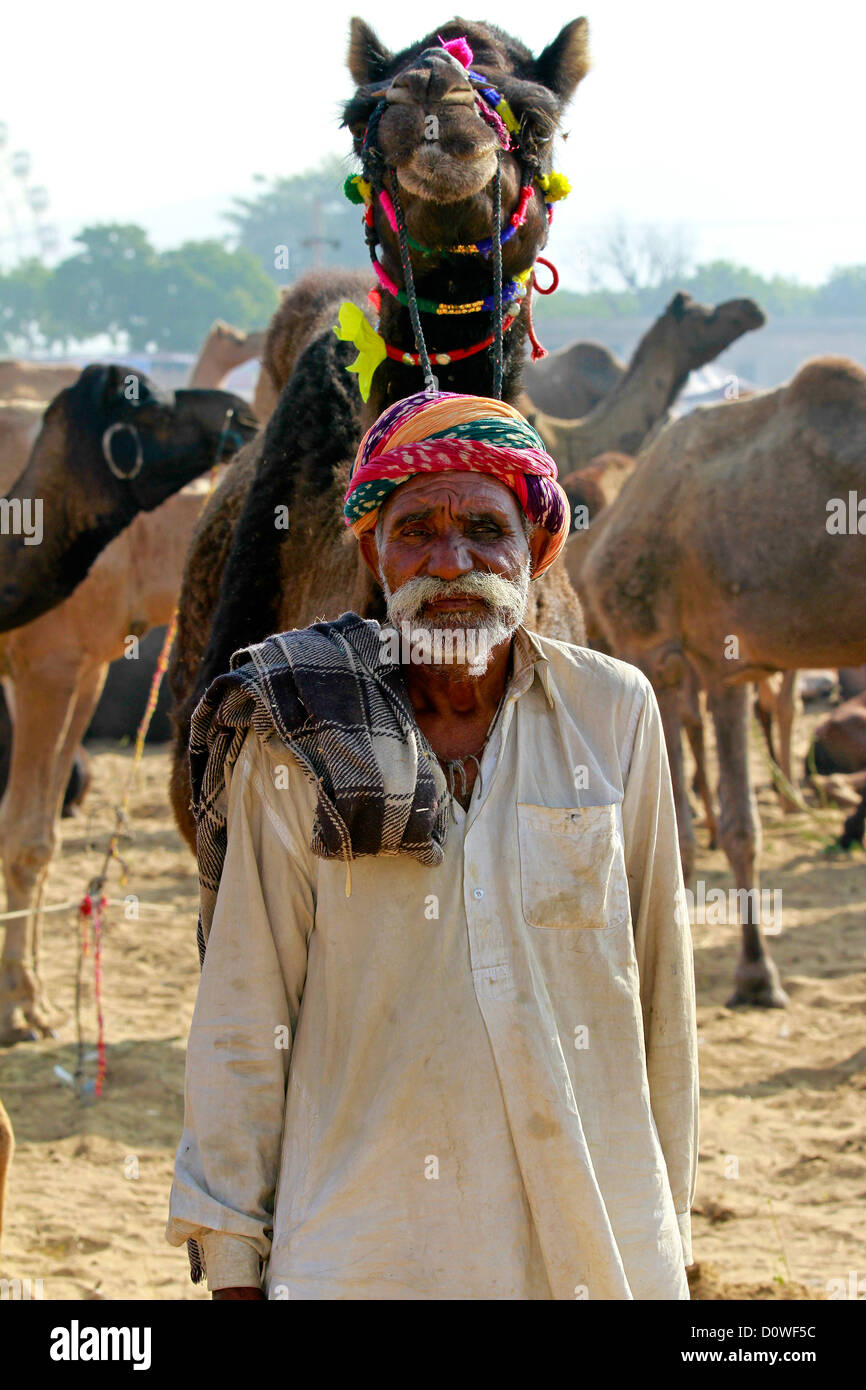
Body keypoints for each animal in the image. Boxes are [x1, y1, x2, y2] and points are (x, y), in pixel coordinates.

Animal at [571, 355, 866, 1008]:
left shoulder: (687, 658)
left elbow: (708, 832)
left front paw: (755, 975)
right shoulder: (697, 658)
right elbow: (716, 832)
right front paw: (753, 974)